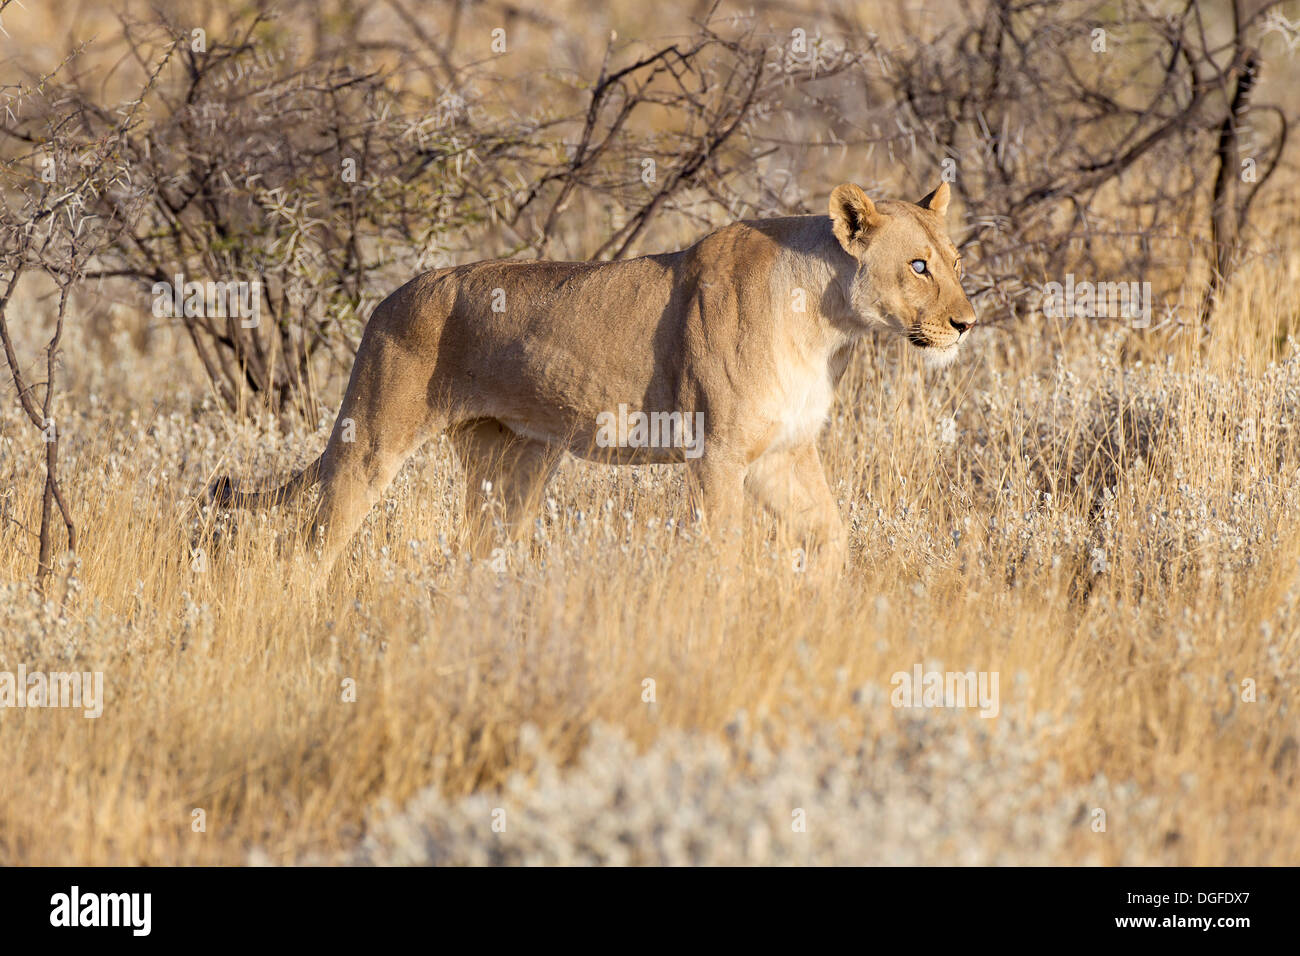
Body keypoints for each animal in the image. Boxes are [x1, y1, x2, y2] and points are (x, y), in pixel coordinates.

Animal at [209, 181, 977, 571]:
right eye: (917, 267)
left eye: (955, 261)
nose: (967, 322)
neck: (828, 324)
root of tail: (389, 297)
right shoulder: (717, 453)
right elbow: (724, 552)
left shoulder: (782, 453)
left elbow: (831, 536)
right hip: (370, 441)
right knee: (308, 547)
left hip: (511, 465)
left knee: (480, 551)